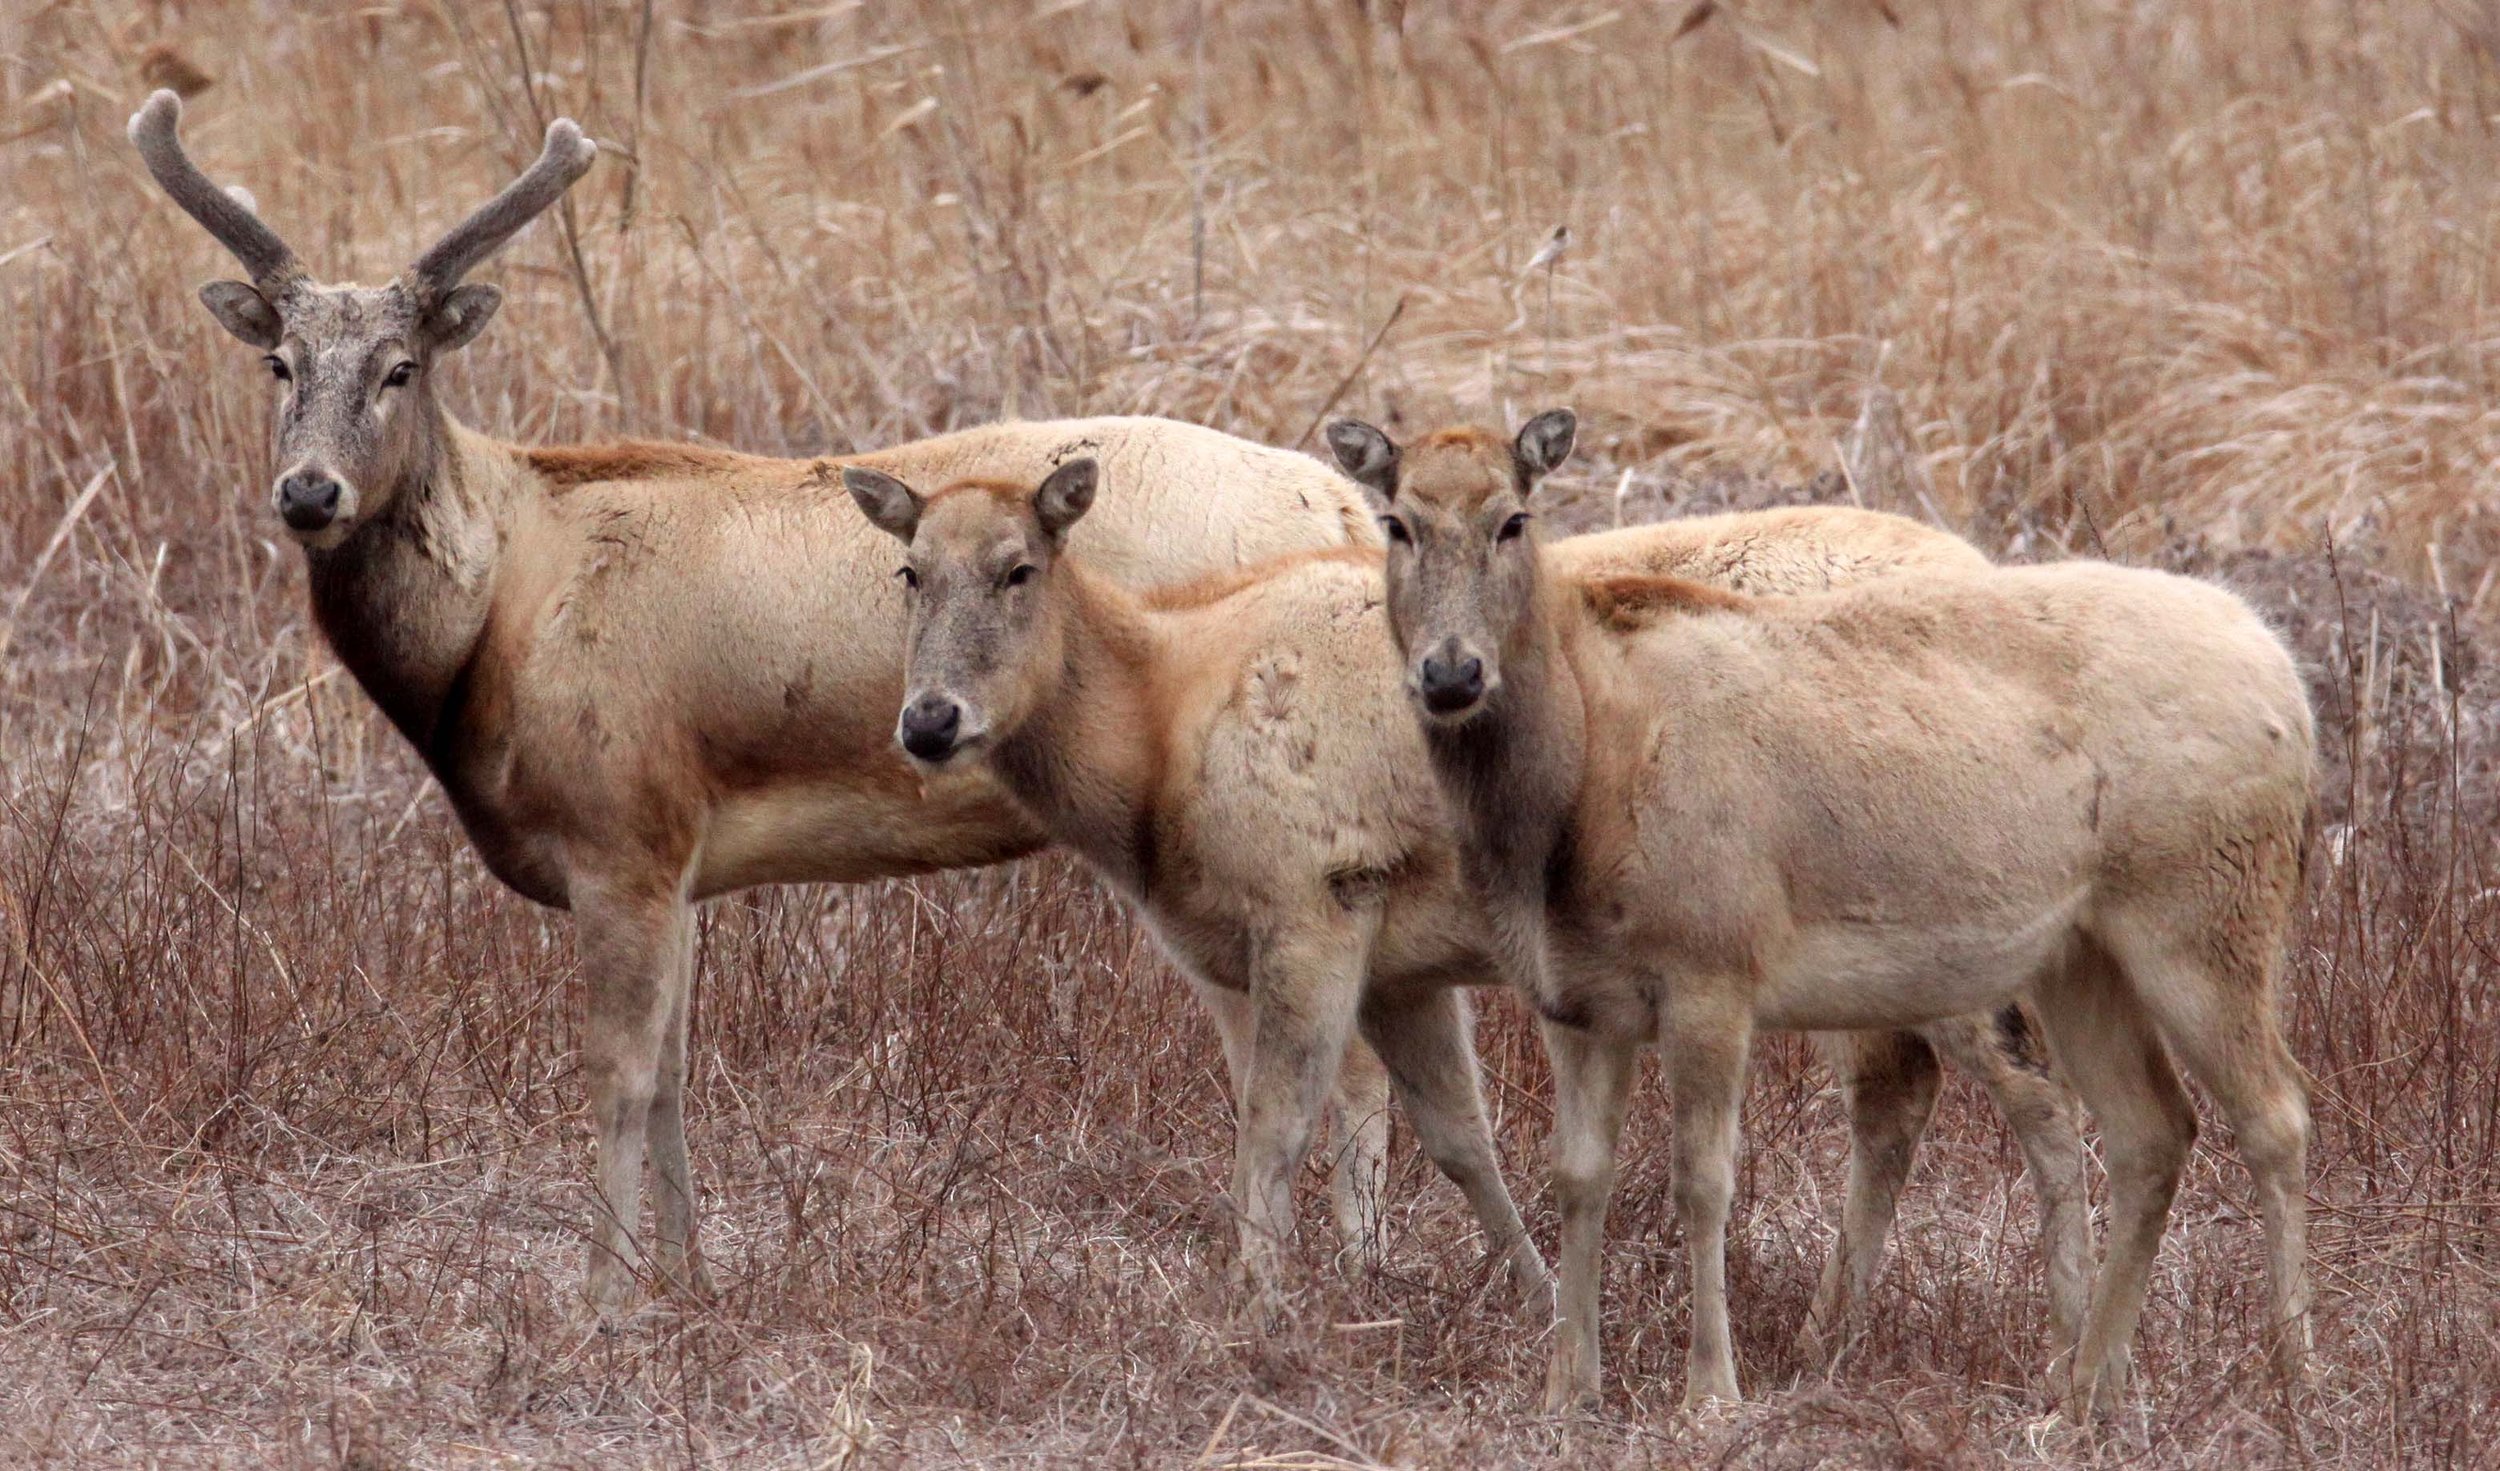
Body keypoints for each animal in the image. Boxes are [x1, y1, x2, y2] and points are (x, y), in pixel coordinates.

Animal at [126, 89, 1406, 1318]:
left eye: (401, 369)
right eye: (280, 365)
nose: (308, 492)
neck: (498, 616)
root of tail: (1346, 506)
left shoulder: (620, 822)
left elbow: (618, 1074)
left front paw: (602, 1305)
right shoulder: (679, 851)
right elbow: (677, 1076)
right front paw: (687, 1281)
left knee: (1345, 1058)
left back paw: (1354, 1274)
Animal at [842, 456, 2089, 1349]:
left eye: (1018, 568)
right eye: (908, 572)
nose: (929, 721)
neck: (1157, 744)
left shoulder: (1314, 895)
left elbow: (1275, 1127)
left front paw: (1252, 1316)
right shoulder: (1393, 961)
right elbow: (1457, 1138)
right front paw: (1537, 1300)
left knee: (2028, 1089)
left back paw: (2062, 1344)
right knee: (1902, 1088)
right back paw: (1836, 1331)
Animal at [1330, 410, 2314, 1419]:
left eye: (1514, 519)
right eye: (1398, 522)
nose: (1452, 672)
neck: (1573, 799)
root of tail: (2291, 683)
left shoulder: (1713, 965)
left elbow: (1702, 1181)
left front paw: (1711, 1391)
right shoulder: (1570, 999)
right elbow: (1575, 1176)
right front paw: (1569, 1385)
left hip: (2208, 909)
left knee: (2277, 1111)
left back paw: (2293, 1371)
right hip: (2081, 954)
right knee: (2151, 1128)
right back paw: (2088, 1386)